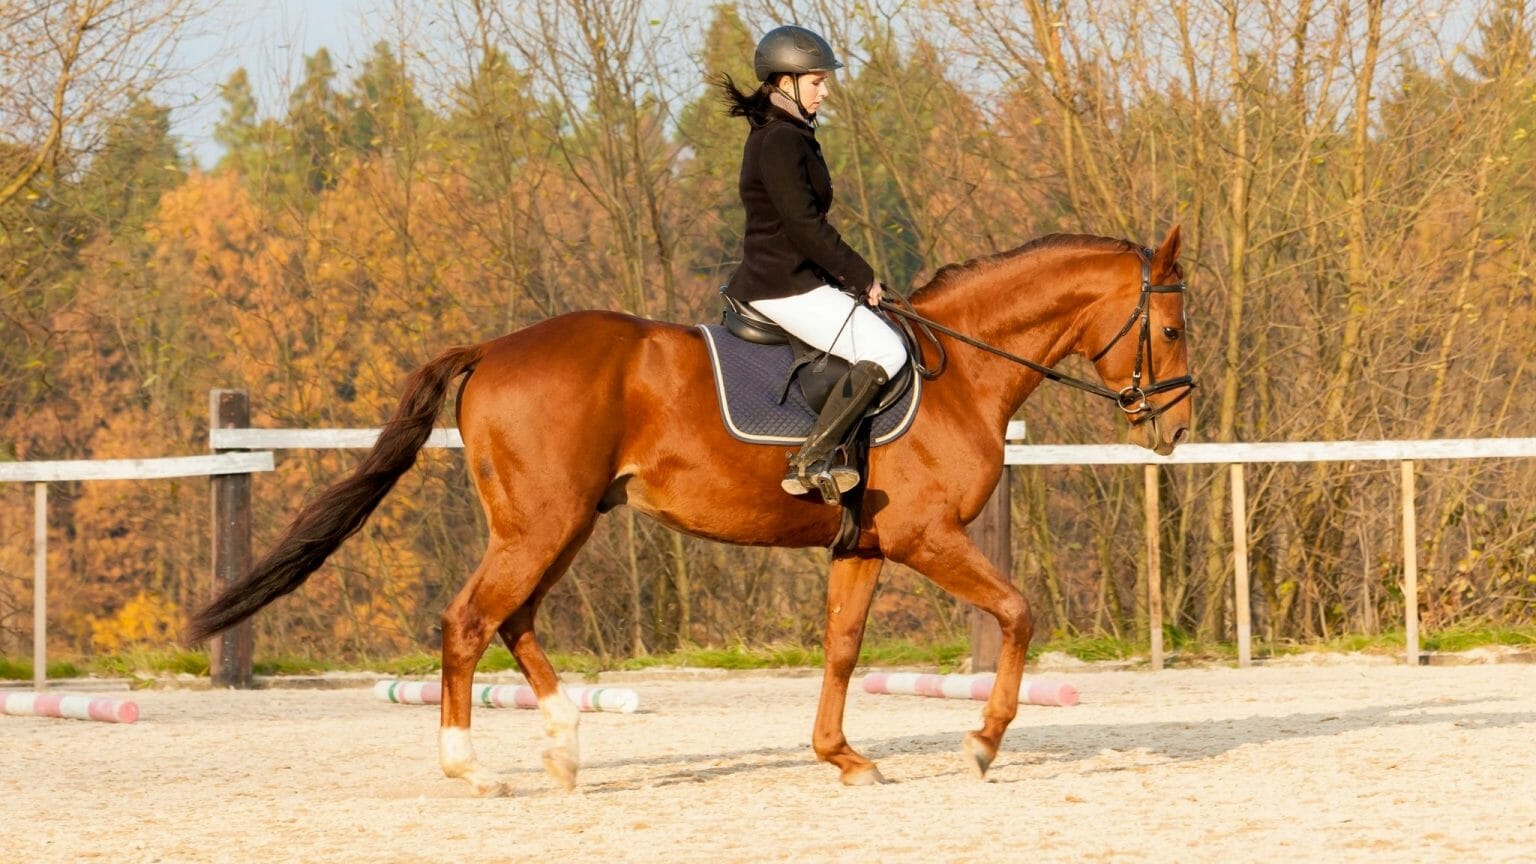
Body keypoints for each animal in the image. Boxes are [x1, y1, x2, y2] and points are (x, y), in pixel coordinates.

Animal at [188, 226, 1195, 796]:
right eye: (1173, 327)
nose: (1176, 426)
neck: (963, 370)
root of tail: (497, 348)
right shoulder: (925, 537)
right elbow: (1019, 612)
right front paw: (981, 744)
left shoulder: (863, 546)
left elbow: (841, 648)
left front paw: (842, 757)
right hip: (543, 524)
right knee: (469, 620)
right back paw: (470, 766)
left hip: (562, 523)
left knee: (514, 618)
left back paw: (564, 748)